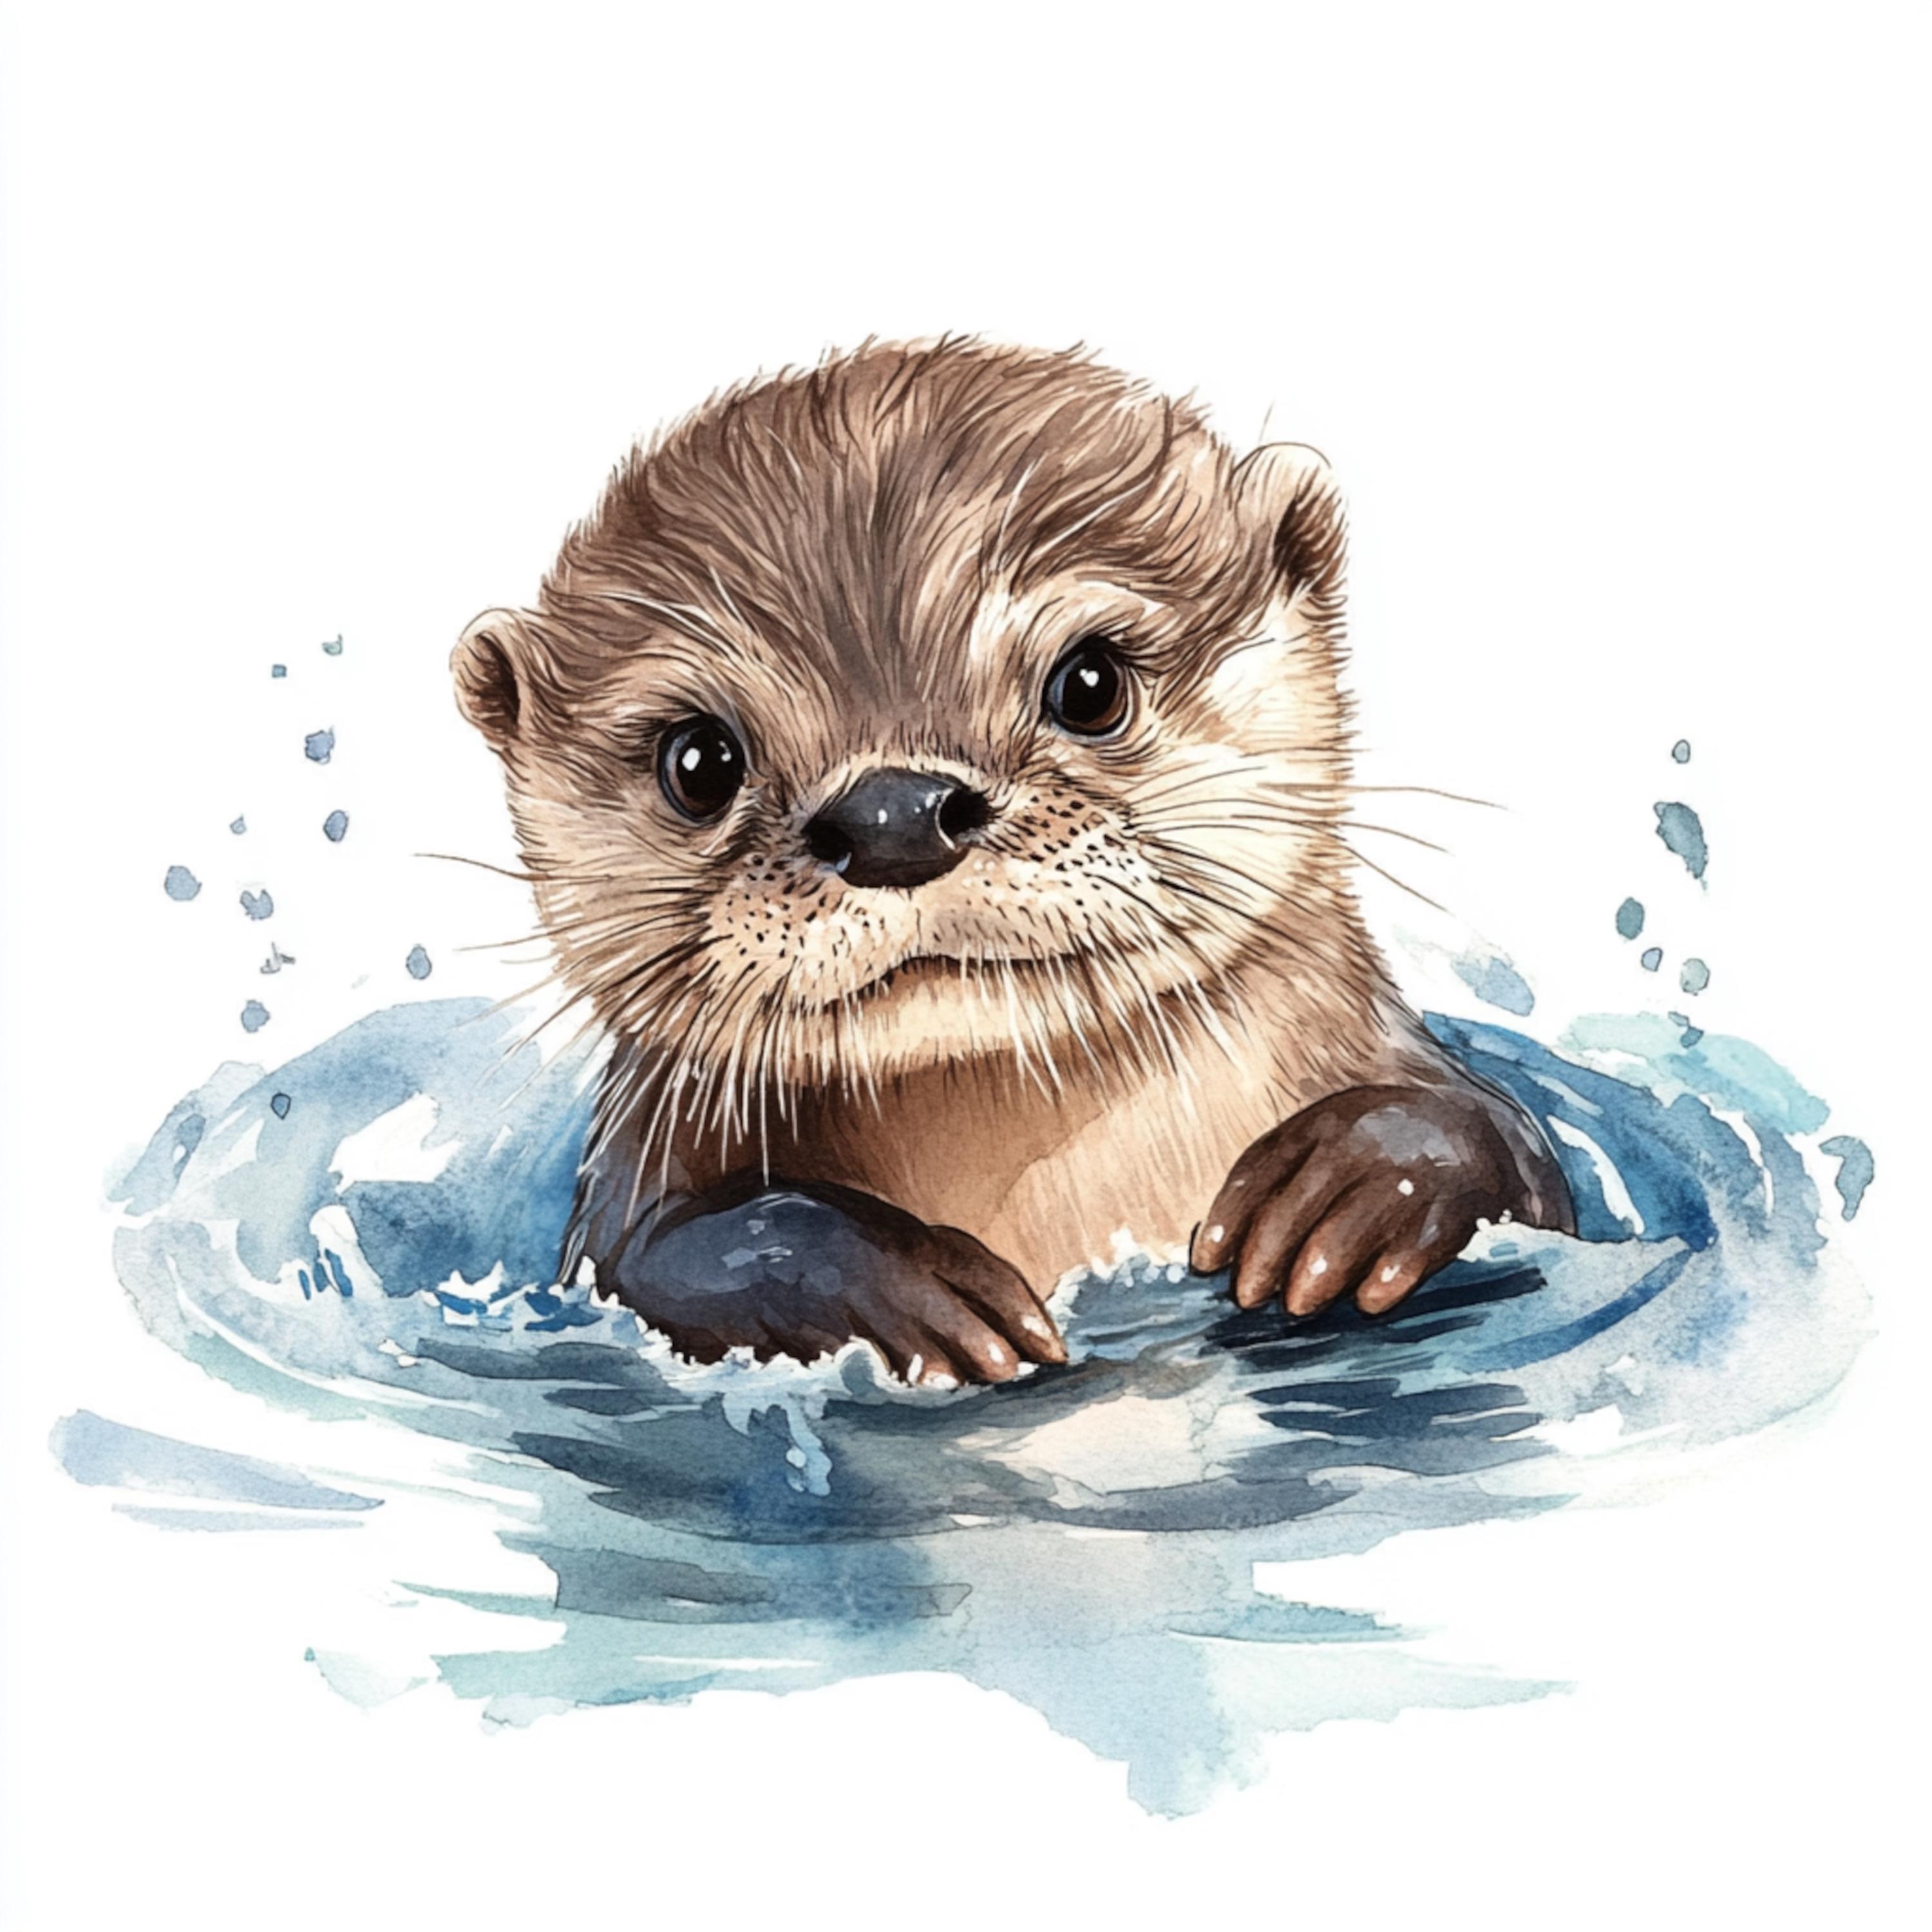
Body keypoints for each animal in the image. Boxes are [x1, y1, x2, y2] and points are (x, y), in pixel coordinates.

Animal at [453, 338, 1573, 1386]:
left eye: (1091, 682)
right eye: (698, 760)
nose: (894, 814)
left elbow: (1517, 1153)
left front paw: (1353, 1183)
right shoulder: (616, 1218)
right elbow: (667, 1258)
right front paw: (898, 1286)